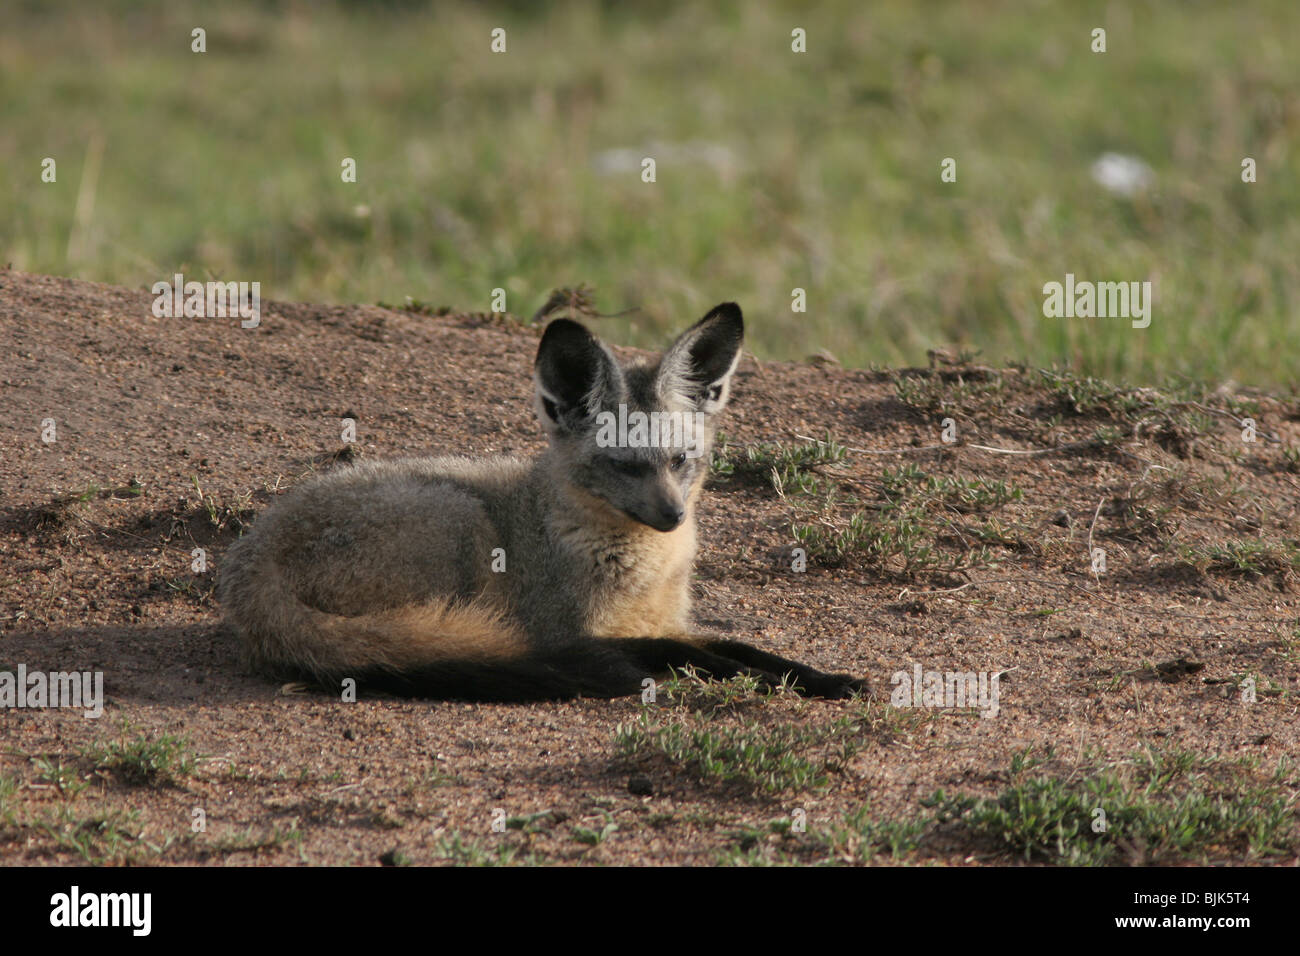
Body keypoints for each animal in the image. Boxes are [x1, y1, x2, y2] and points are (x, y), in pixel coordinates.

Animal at [218, 303, 867, 702]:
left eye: (681, 460)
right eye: (621, 466)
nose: (673, 517)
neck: (642, 573)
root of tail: (251, 556)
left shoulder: (670, 621)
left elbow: (744, 648)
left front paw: (823, 678)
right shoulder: (567, 630)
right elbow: (698, 657)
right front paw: (741, 678)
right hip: (462, 523)